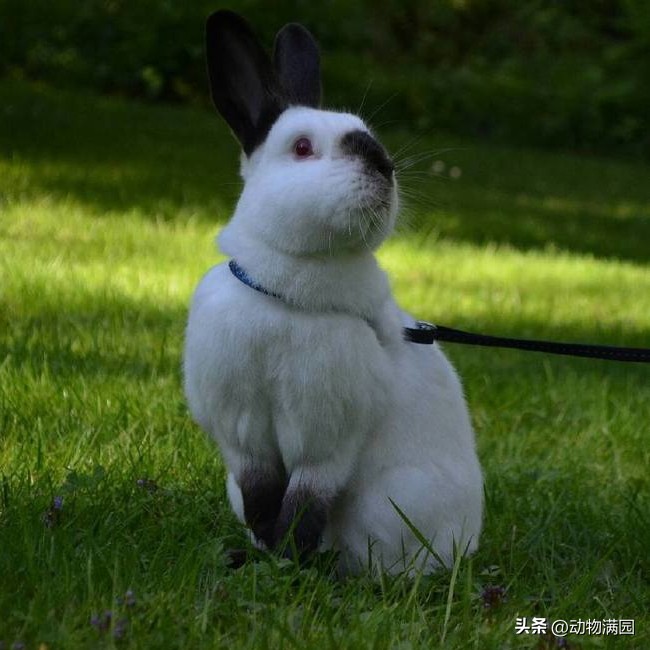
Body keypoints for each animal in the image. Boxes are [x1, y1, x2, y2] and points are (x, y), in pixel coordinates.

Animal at [183, 9, 483, 576]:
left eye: (368, 136)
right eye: (302, 148)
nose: (385, 167)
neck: (287, 298)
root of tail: (465, 541)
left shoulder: (327, 435)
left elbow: (306, 501)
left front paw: (286, 555)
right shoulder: (241, 431)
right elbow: (261, 494)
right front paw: (268, 548)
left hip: (386, 509)